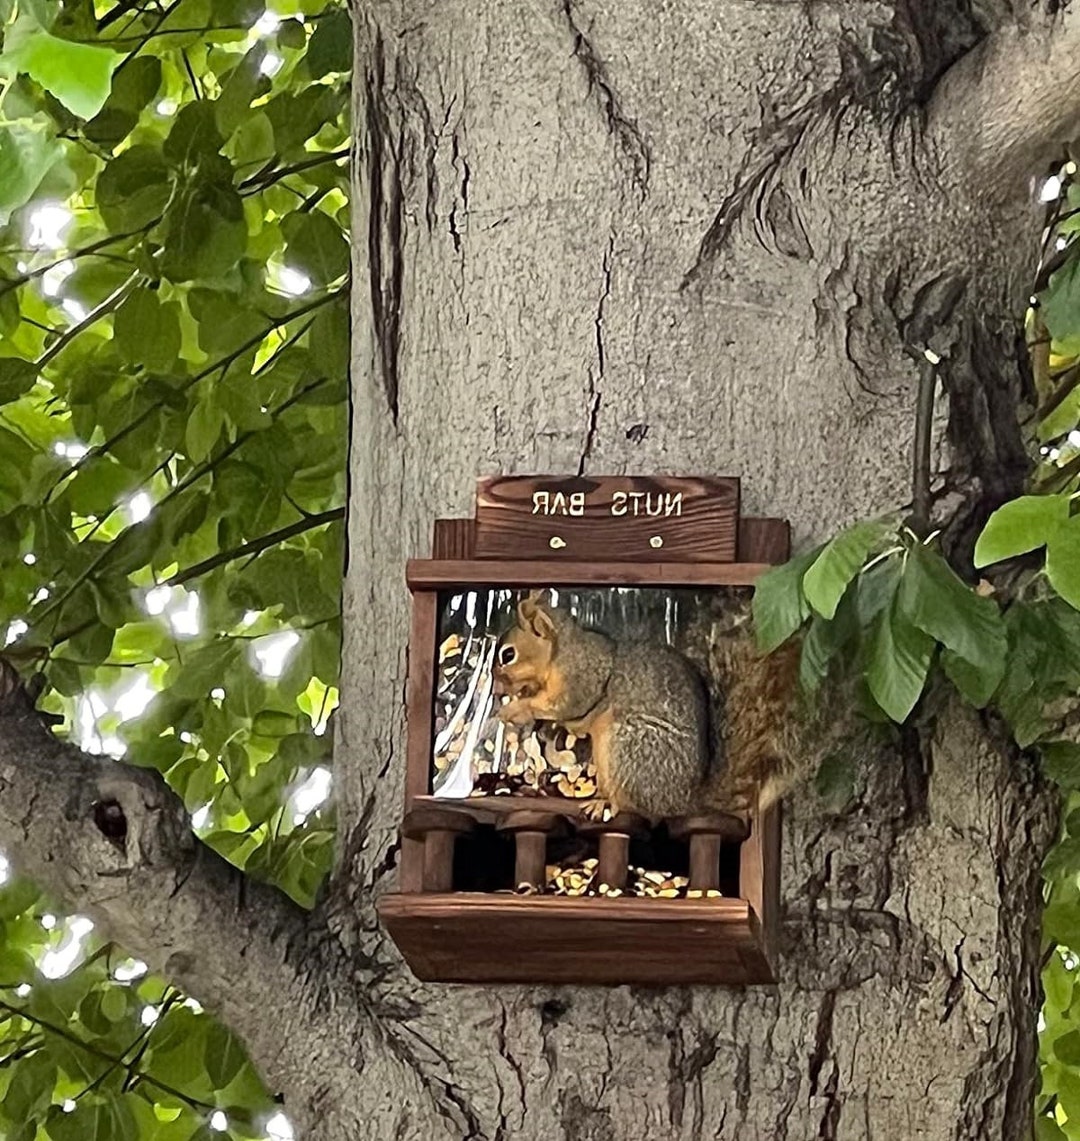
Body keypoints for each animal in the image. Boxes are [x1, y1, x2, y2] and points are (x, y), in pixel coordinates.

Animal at [492, 592, 798, 820]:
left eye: (508, 655)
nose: (496, 690)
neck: (561, 651)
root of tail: (685, 802)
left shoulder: (582, 678)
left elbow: (566, 705)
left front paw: (515, 709)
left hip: (629, 745)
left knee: (636, 806)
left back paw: (608, 805)